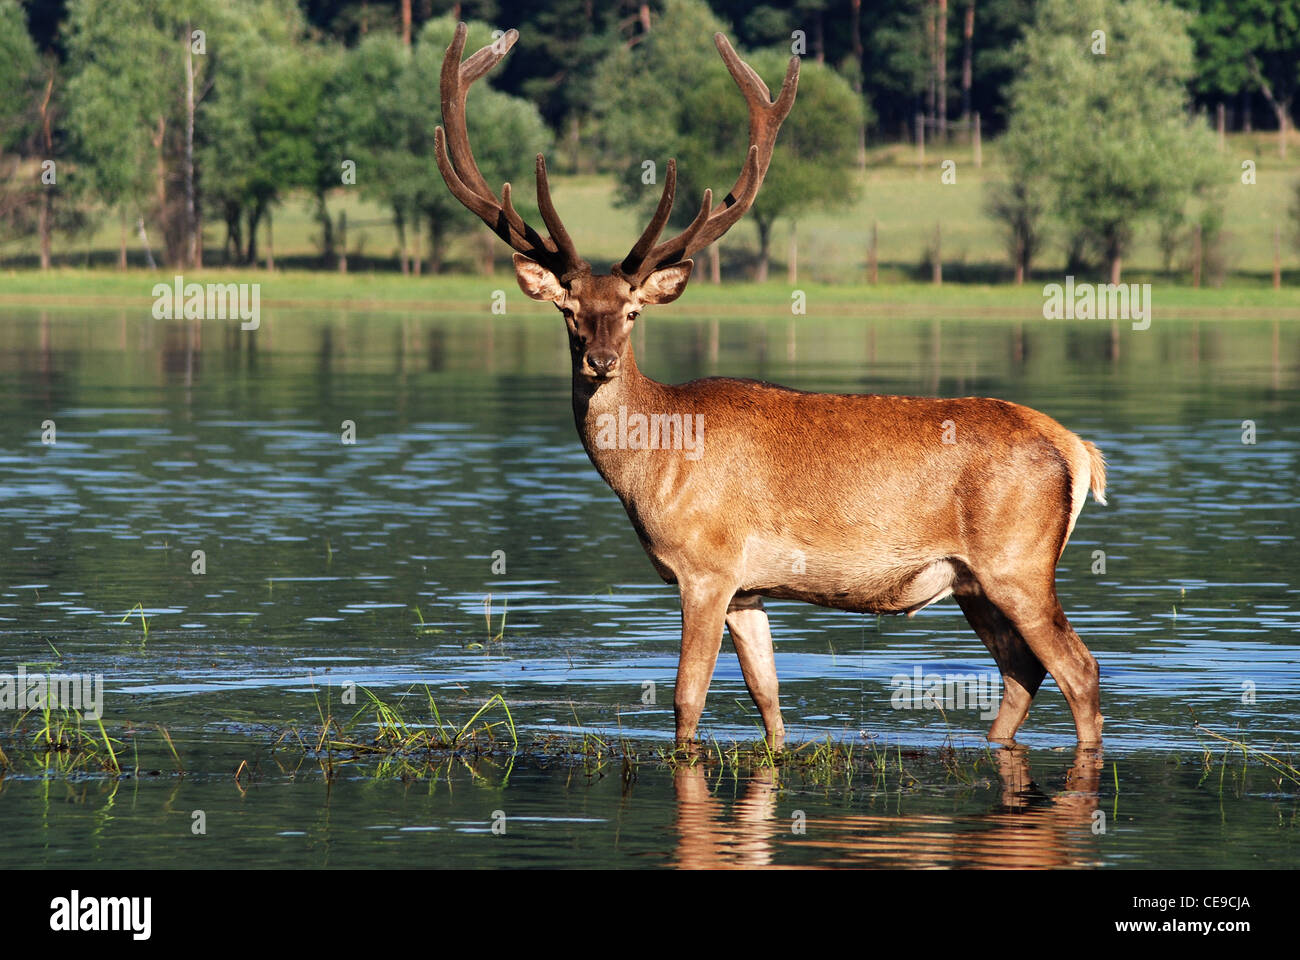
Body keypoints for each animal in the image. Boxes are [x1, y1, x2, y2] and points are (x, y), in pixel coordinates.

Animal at [435, 23, 1108, 750]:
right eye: (568, 310)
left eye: (633, 310)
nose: (601, 359)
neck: (655, 466)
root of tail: (1077, 449)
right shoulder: (749, 591)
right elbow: (768, 698)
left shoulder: (707, 567)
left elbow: (688, 698)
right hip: (972, 582)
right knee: (1023, 671)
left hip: (1018, 562)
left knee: (1079, 668)